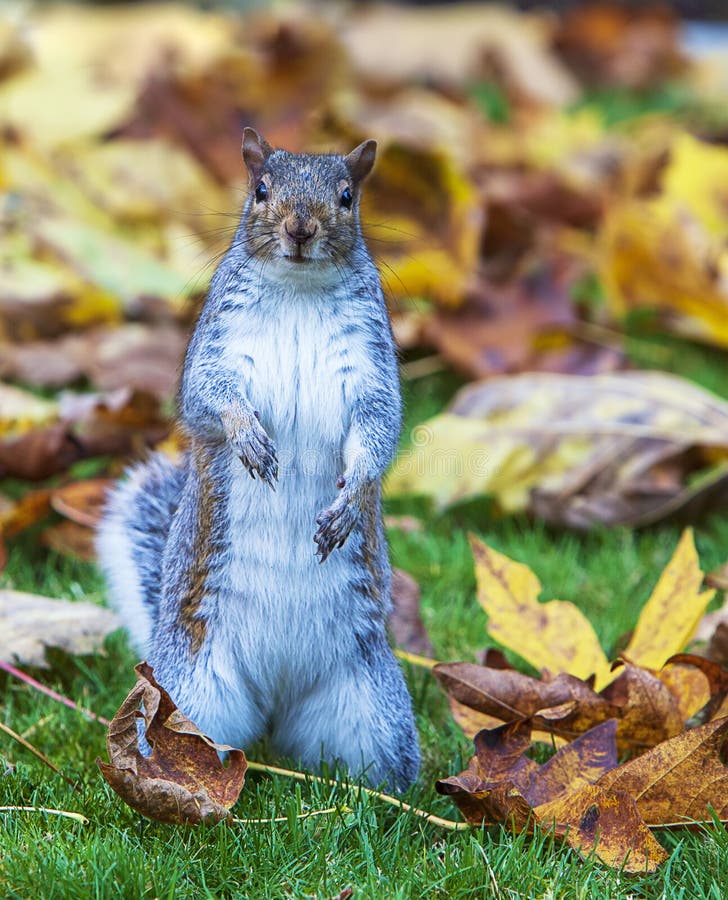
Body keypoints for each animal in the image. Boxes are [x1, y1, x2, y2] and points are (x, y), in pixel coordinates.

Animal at [96, 128, 420, 792]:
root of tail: (275, 696)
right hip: (187, 690)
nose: (299, 229)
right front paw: (247, 436)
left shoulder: (371, 370)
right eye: (261, 190)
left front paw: (351, 501)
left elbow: (378, 434)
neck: (296, 292)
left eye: (347, 197)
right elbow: (208, 399)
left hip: (369, 707)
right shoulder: (215, 350)